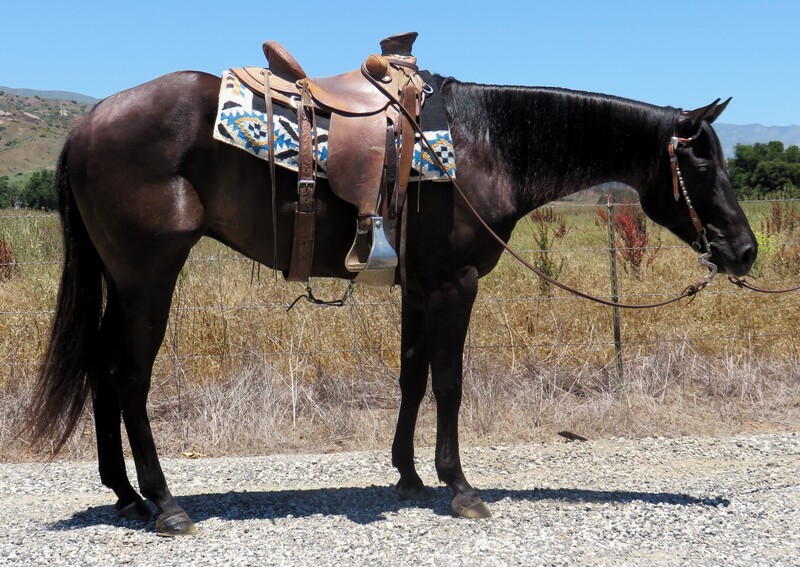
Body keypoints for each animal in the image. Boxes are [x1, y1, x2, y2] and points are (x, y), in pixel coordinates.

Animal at [26, 69, 756, 535]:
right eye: (701, 164)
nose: (745, 250)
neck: (485, 142)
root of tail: (88, 122)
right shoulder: (458, 281)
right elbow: (451, 381)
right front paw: (460, 487)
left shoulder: (423, 285)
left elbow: (412, 376)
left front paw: (409, 475)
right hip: (149, 278)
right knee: (128, 376)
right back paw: (167, 503)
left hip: (122, 281)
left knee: (100, 368)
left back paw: (126, 495)